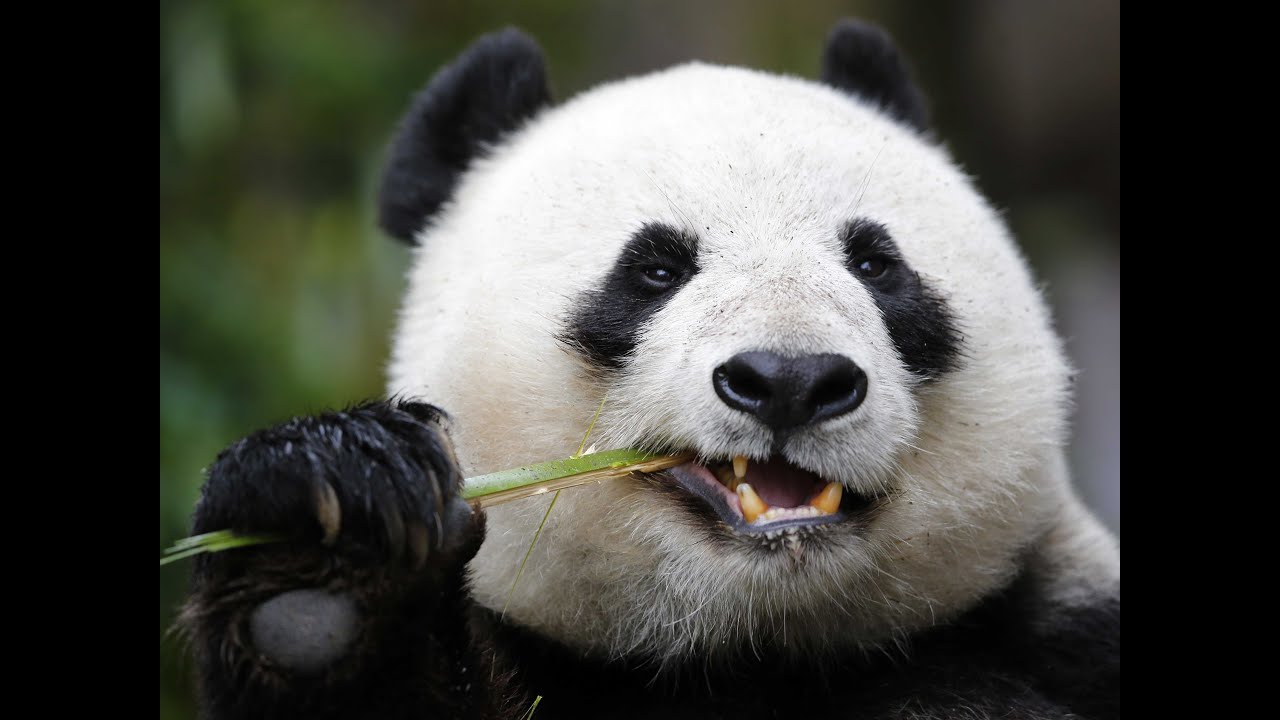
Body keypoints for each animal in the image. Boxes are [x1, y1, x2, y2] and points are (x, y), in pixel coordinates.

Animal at [184, 20, 1119, 720]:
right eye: (656, 269)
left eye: (876, 265)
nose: (790, 379)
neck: (754, 649)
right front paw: (323, 556)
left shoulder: (1065, 627)